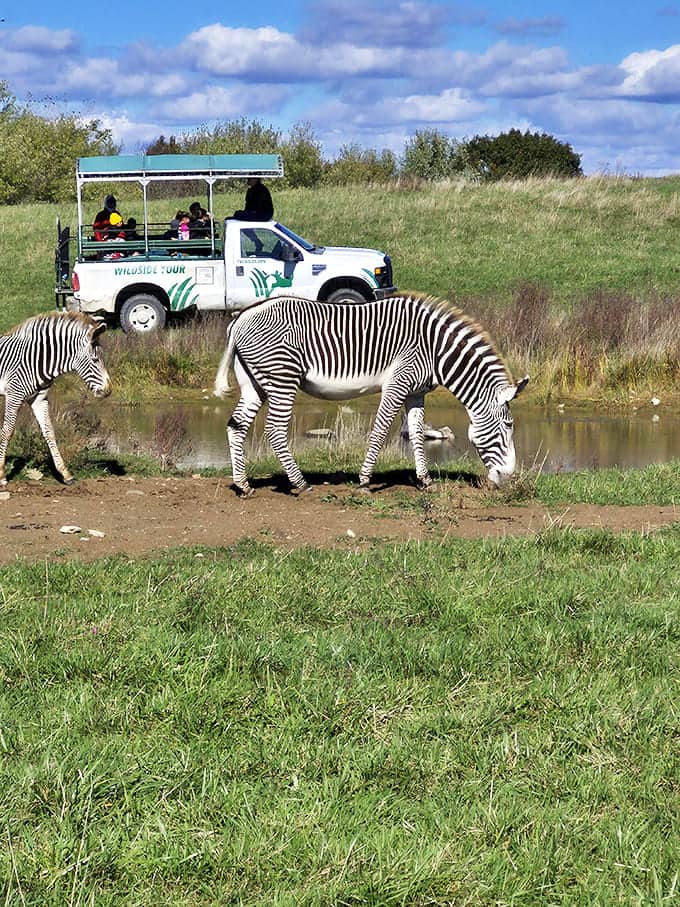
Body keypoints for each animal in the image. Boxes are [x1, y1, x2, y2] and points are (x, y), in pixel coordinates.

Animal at [0, 312, 112, 486]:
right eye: (95, 360)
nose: (108, 390)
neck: (36, 361)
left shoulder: (39, 399)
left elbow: (49, 432)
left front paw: (65, 473)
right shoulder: (14, 395)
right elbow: (7, 431)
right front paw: (2, 474)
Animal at [214, 294, 529, 496]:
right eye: (508, 427)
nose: (507, 477)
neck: (435, 350)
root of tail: (241, 318)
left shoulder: (416, 392)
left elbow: (416, 433)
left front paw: (425, 480)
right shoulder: (398, 383)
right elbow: (379, 431)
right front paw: (365, 480)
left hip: (254, 382)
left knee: (235, 426)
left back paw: (243, 485)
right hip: (282, 378)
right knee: (275, 430)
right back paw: (300, 484)